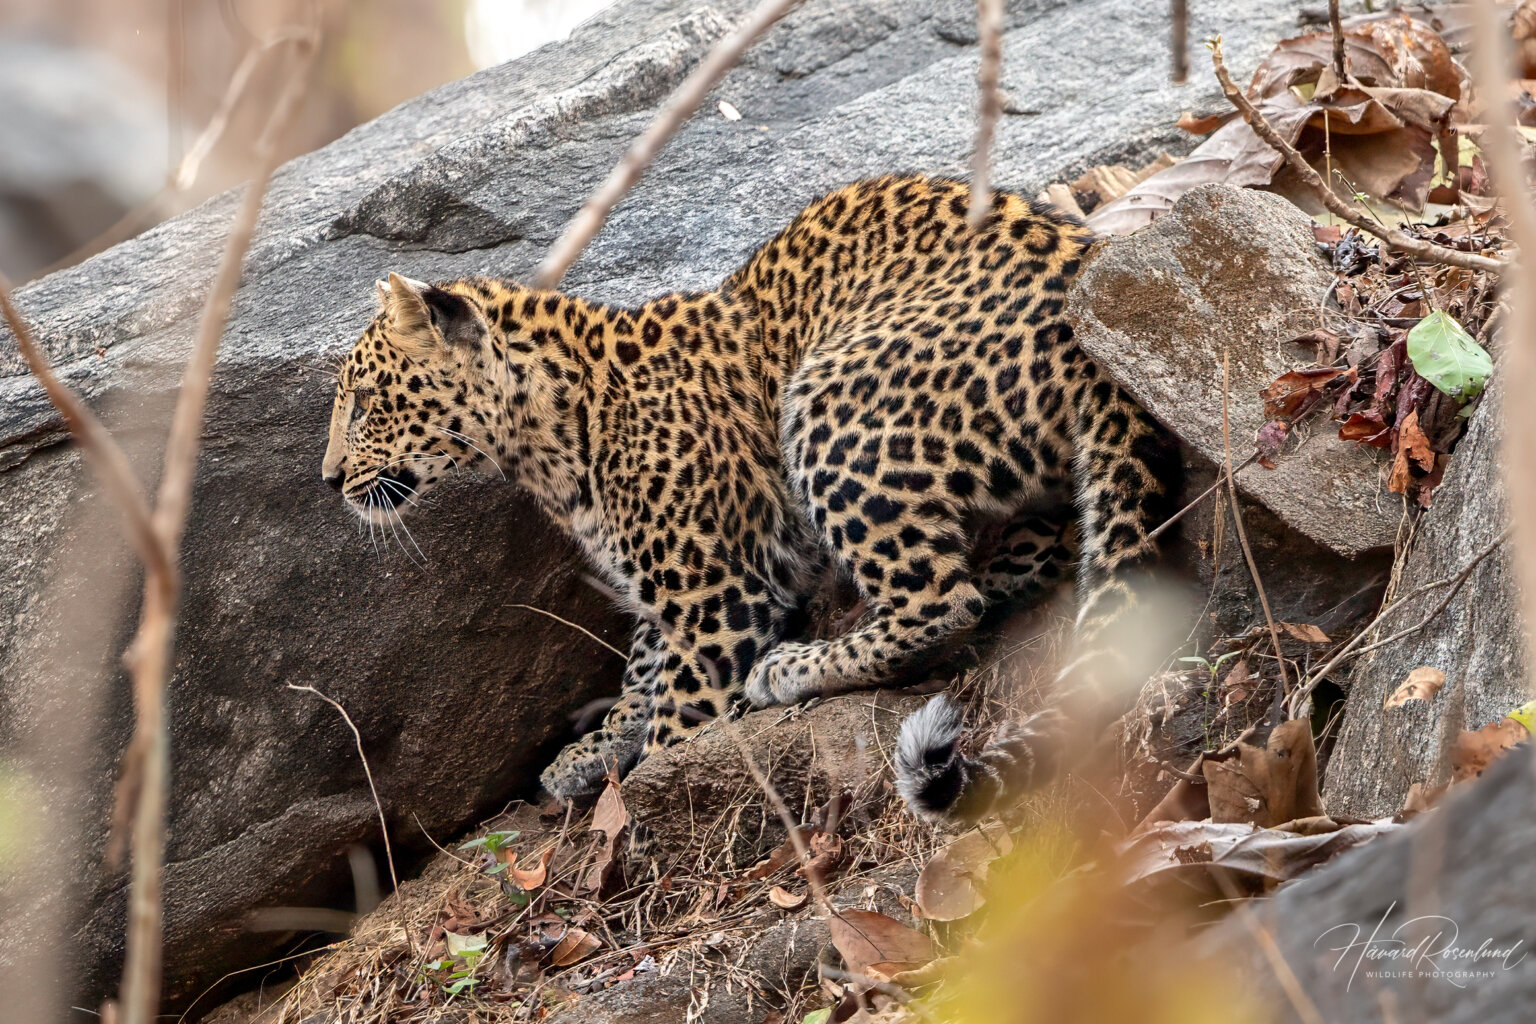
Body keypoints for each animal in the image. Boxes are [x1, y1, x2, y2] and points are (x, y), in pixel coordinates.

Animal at [320, 173, 1180, 817]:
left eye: (363, 401)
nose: (328, 480)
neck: (549, 434)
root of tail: (1092, 308)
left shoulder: (718, 598)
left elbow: (675, 715)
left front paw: (645, 783)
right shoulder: (669, 596)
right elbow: (641, 670)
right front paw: (592, 750)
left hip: (831, 397)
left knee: (940, 603)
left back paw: (793, 667)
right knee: (1044, 547)